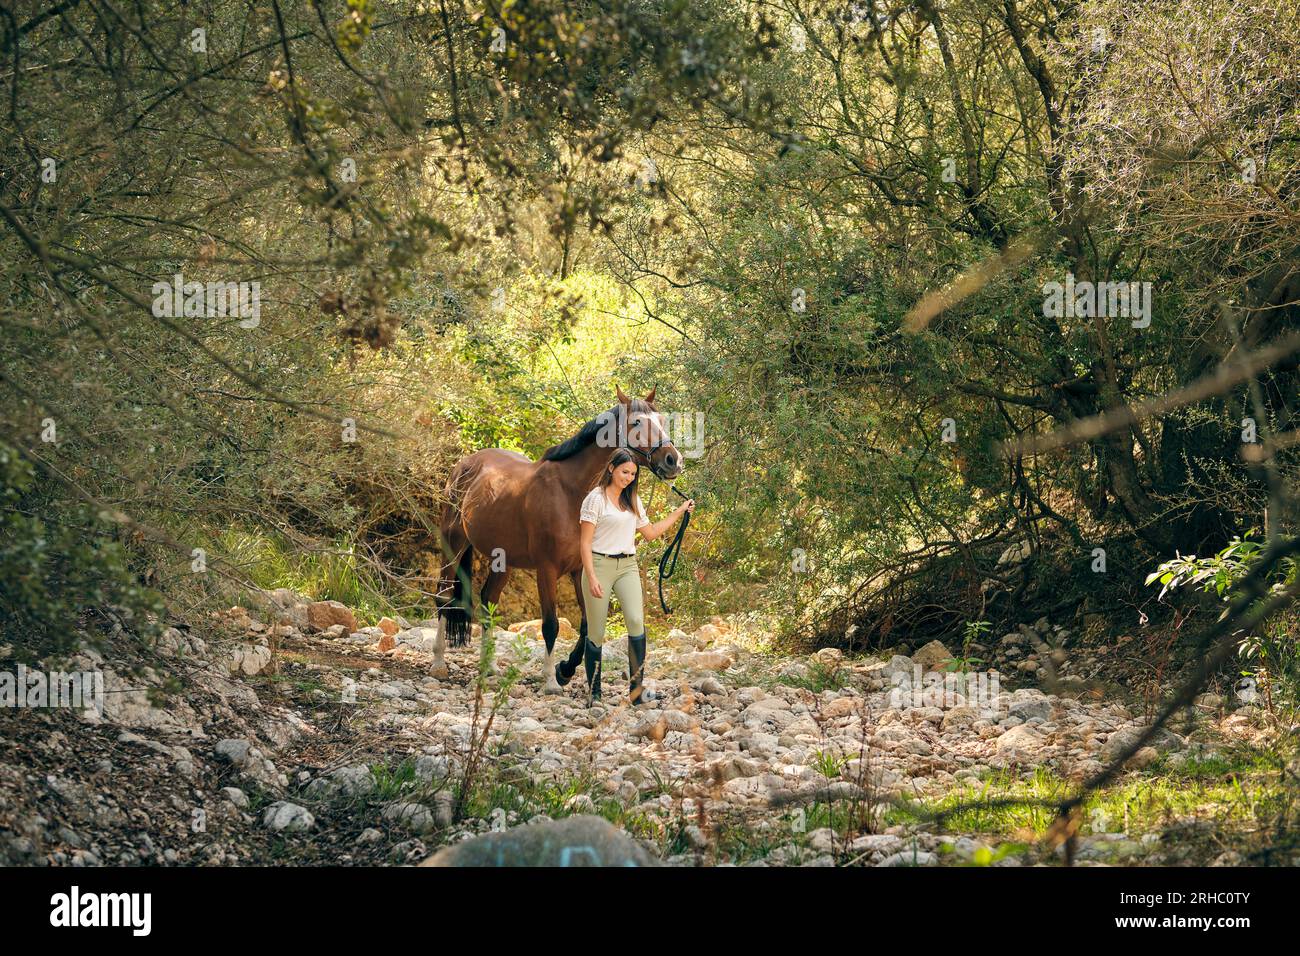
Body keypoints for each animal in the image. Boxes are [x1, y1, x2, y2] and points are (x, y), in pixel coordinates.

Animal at [431, 387, 684, 691]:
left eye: (661, 420)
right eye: (636, 422)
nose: (673, 461)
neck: (571, 491)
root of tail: (465, 465)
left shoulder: (581, 570)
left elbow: (587, 624)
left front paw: (566, 669)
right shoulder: (547, 569)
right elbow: (550, 624)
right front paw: (551, 679)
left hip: (502, 559)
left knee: (488, 599)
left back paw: (489, 667)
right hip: (454, 545)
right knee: (444, 596)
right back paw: (438, 662)